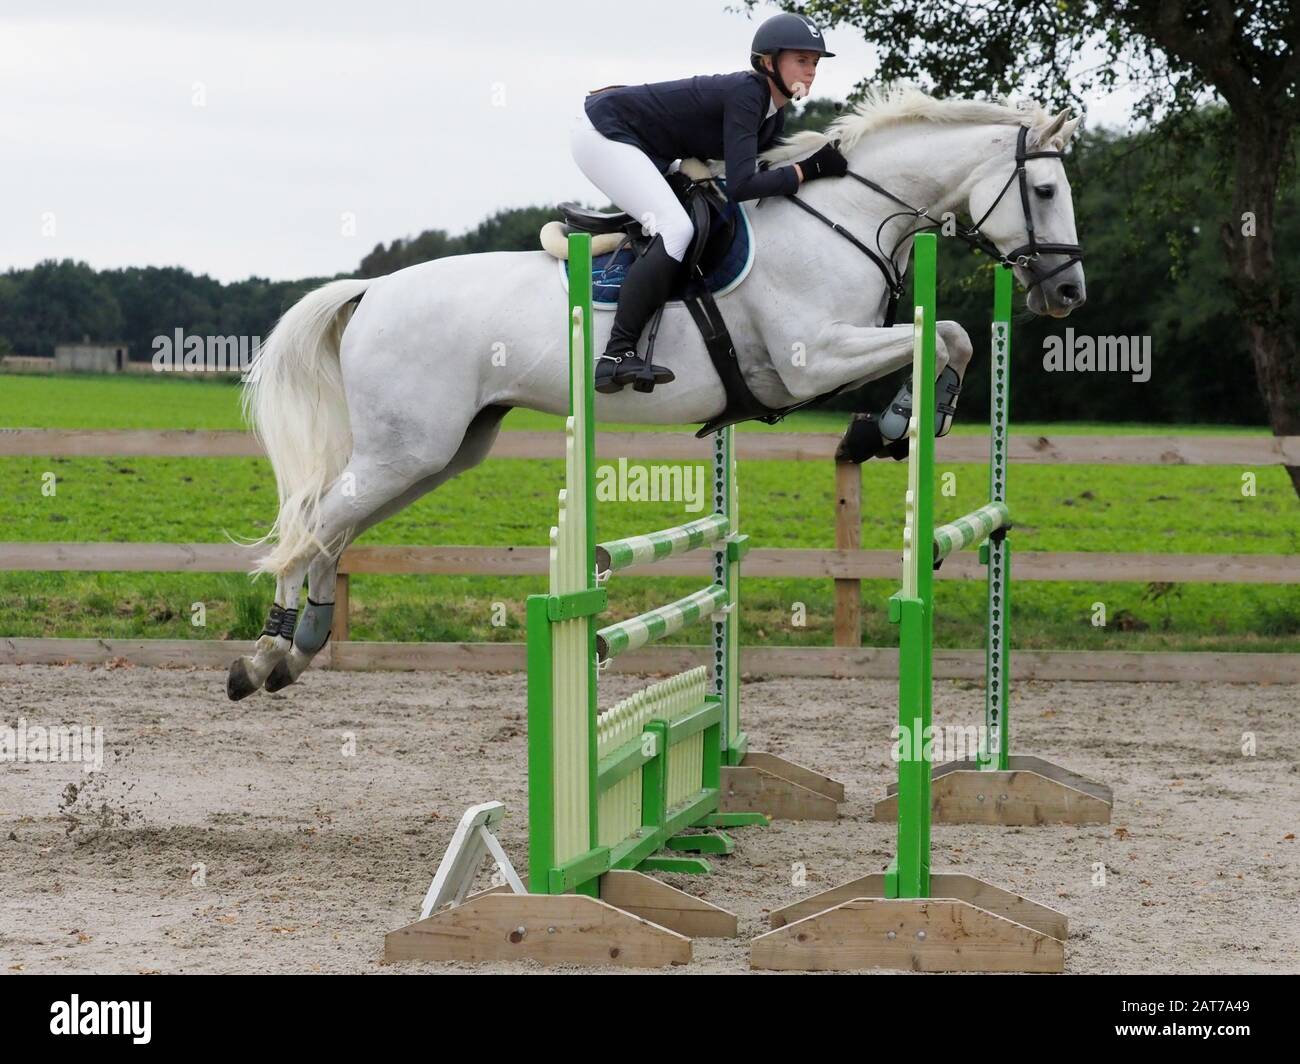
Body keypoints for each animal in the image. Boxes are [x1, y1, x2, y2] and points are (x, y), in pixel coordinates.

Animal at [227, 87, 1086, 700]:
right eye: (1045, 189)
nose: (1068, 292)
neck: (845, 215)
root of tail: (371, 290)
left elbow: (956, 337)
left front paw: (904, 420)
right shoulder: (813, 360)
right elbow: (939, 337)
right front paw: (896, 421)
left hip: (441, 451)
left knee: (331, 527)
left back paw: (299, 649)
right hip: (406, 450)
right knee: (314, 523)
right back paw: (264, 655)